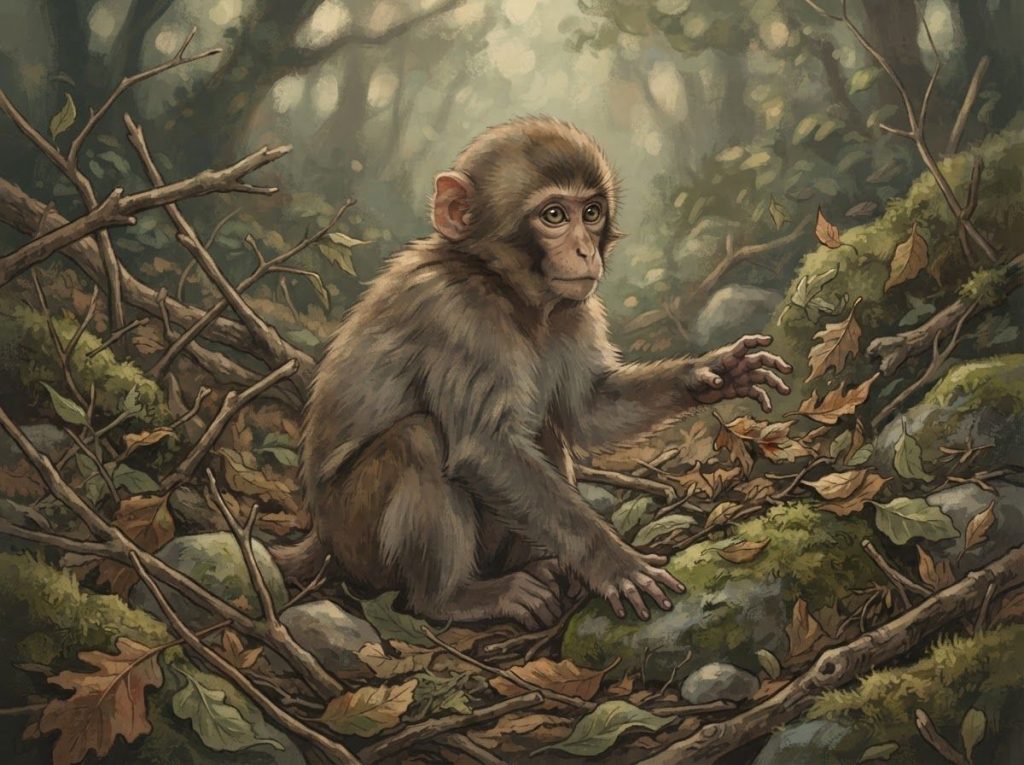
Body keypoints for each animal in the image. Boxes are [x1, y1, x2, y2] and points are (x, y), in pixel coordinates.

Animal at [272, 116, 792, 629]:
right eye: (554, 216)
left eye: (591, 212)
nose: (585, 251)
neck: (504, 288)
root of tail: (321, 537)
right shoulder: (456, 315)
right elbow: (486, 450)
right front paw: (613, 563)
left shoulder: (576, 309)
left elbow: (587, 411)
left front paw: (715, 372)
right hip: (358, 542)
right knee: (418, 439)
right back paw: (451, 599)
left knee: (543, 428)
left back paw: (542, 565)